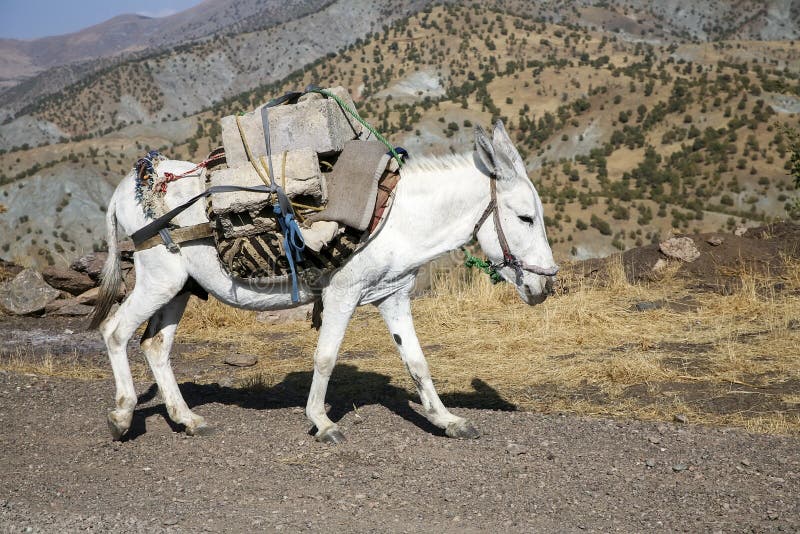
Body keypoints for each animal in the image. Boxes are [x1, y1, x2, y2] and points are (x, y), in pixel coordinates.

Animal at [89, 120, 558, 443]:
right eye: (525, 218)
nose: (546, 287)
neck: (397, 219)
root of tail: (133, 182)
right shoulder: (342, 294)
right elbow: (326, 358)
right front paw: (322, 422)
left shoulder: (393, 296)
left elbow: (417, 362)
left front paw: (446, 420)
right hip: (158, 281)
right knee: (115, 332)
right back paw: (122, 416)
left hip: (180, 289)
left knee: (155, 346)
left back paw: (187, 419)